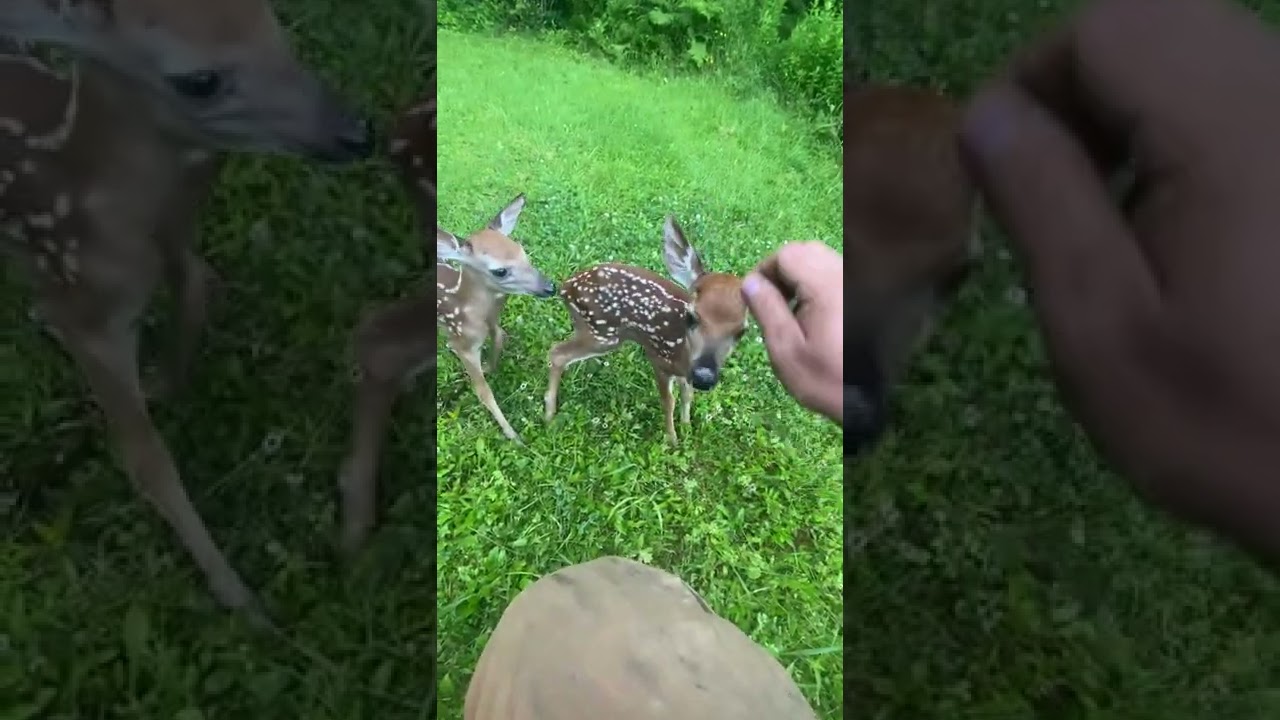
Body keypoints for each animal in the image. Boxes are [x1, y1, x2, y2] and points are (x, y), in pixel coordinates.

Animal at [0, 0, 373, 621]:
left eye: (274, 23)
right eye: (199, 80)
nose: (357, 133)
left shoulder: (174, 235)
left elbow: (197, 290)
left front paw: (164, 383)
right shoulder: (89, 318)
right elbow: (145, 457)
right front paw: (244, 604)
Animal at [543, 215, 748, 446]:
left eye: (742, 331)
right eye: (691, 317)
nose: (704, 378)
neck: (683, 353)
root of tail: (565, 288)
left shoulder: (684, 372)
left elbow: (687, 395)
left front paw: (686, 427)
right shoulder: (658, 359)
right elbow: (668, 401)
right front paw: (672, 440)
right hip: (601, 333)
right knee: (557, 353)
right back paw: (549, 417)